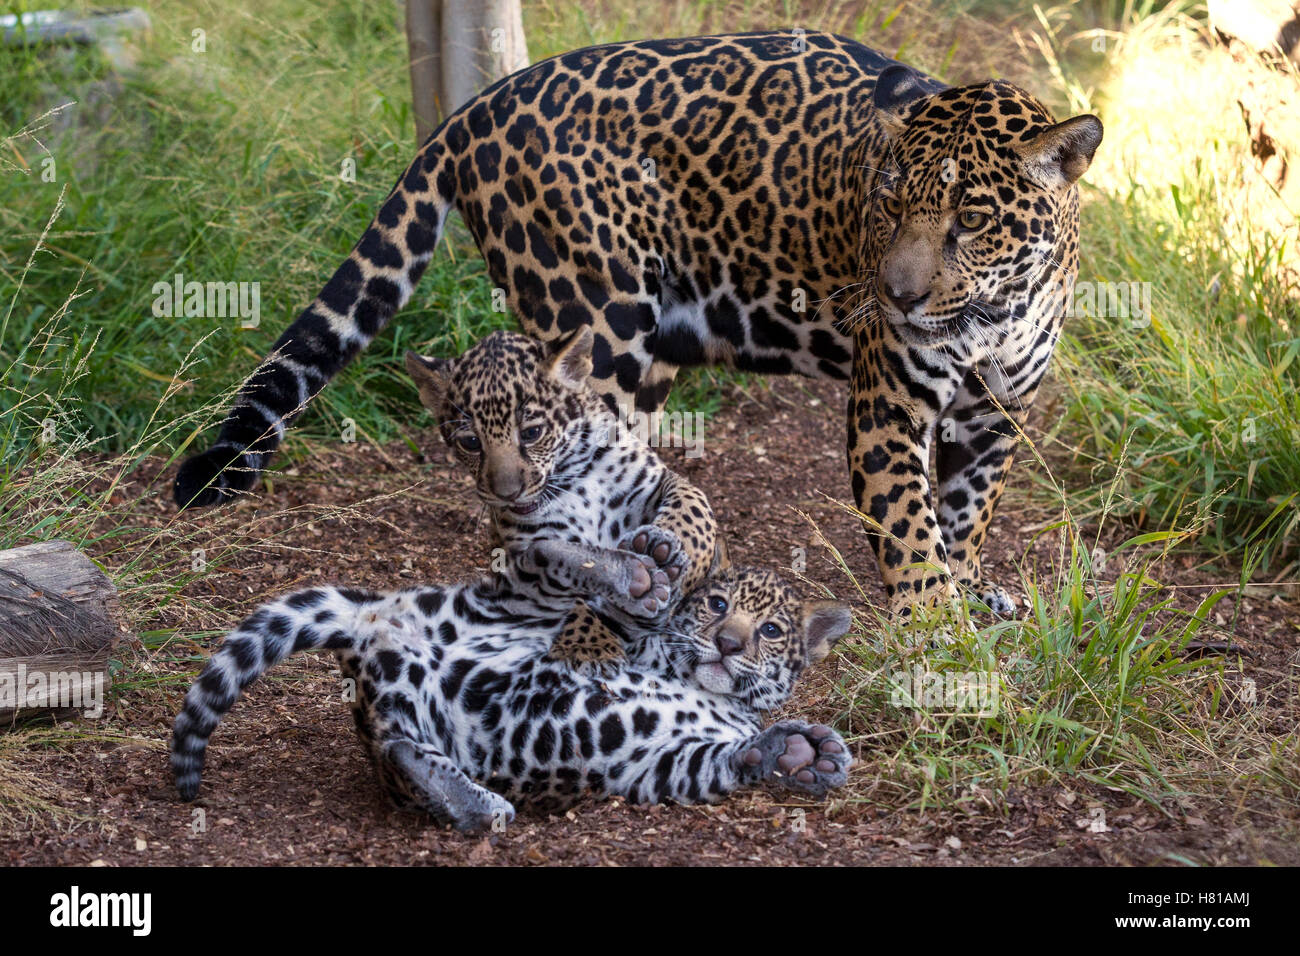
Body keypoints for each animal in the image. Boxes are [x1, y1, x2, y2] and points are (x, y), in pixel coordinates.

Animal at [170, 557, 854, 832]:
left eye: (770, 631)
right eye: (716, 605)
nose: (729, 643)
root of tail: (377, 619)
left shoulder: (657, 766)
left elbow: (723, 758)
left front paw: (800, 755)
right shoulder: (608, 648)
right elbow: (627, 629)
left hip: (404, 708)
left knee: (397, 749)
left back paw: (465, 802)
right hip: (519, 604)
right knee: (543, 552)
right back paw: (630, 567)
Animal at [172, 30, 1102, 617]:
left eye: (970, 219)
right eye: (888, 202)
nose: (896, 294)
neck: (999, 309)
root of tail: (473, 108)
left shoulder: (996, 414)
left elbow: (965, 513)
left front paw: (967, 591)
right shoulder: (890, 404)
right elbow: (908, 523)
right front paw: (933, 630)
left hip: (647, 350)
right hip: (597, 316)